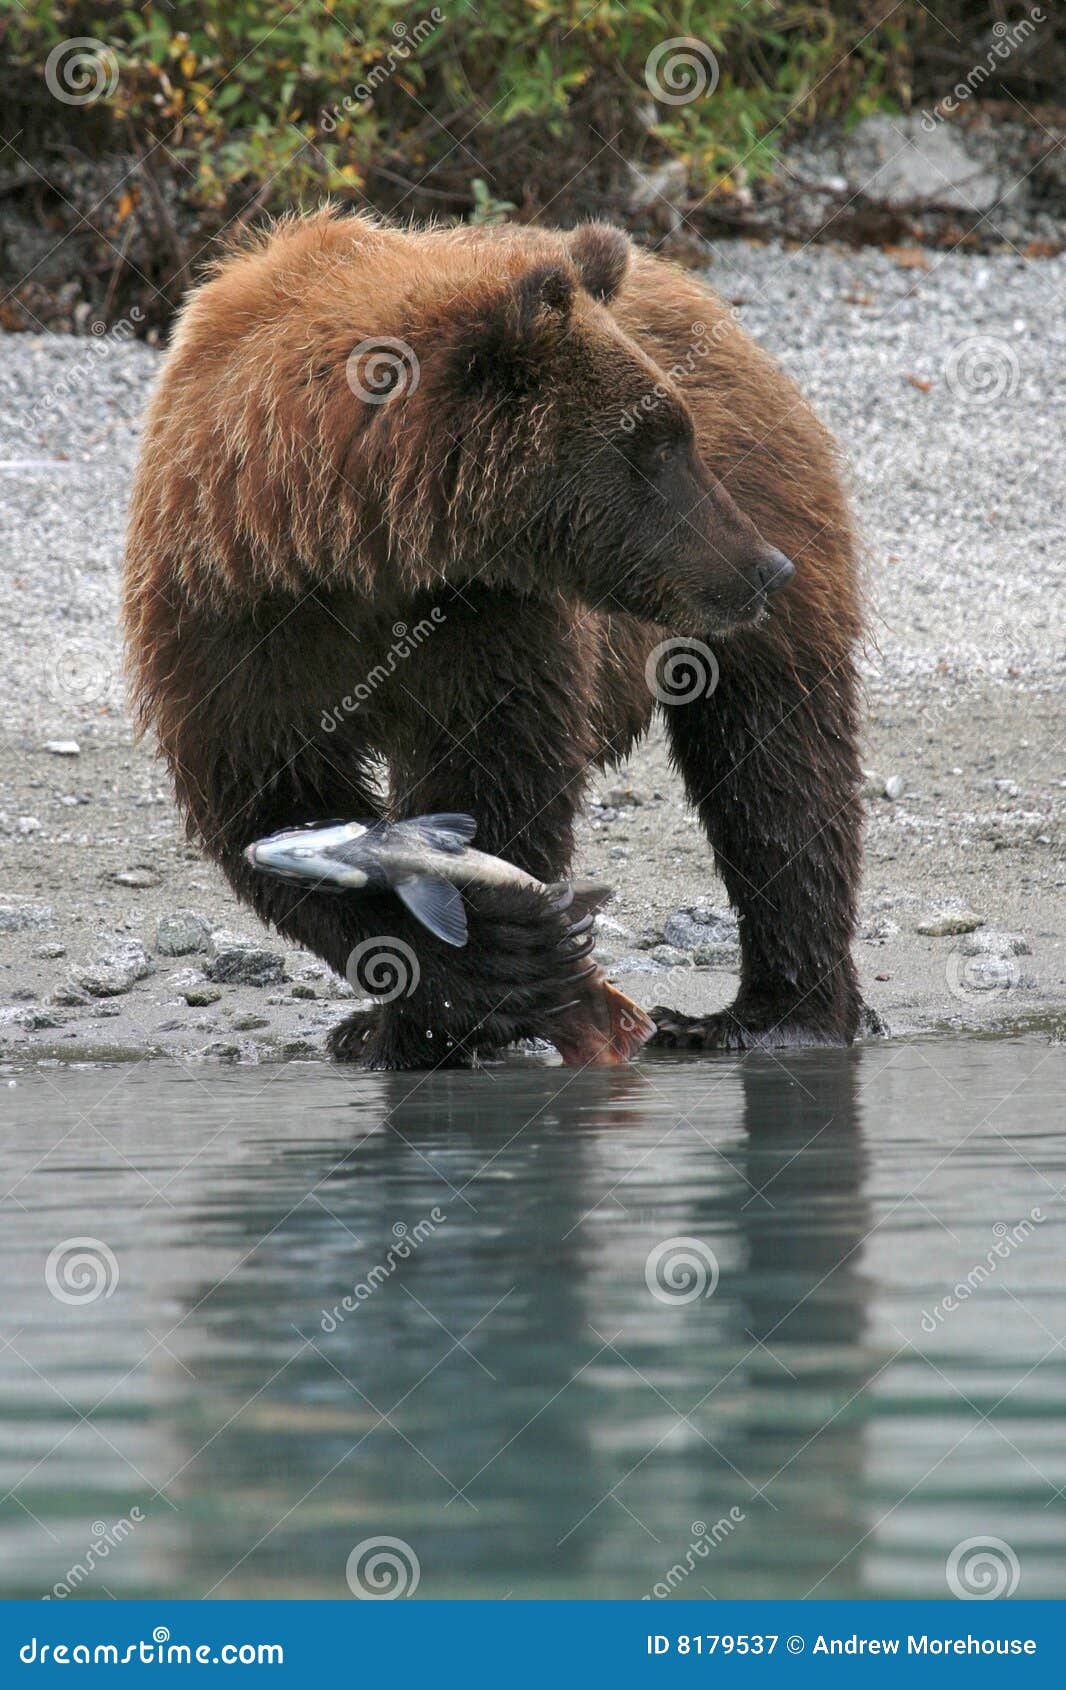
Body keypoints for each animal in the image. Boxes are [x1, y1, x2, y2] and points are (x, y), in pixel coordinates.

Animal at [124, 208, 866, 1068]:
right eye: (655, 444)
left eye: (675, 432)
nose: (763, 568)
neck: (361, 547)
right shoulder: (231, 616)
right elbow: (268, 792)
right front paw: (476, 976)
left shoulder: (490, 617)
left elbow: (495, 774)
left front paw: (478, 986)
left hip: (771, 539)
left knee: (778, 774)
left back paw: (768, 1013)